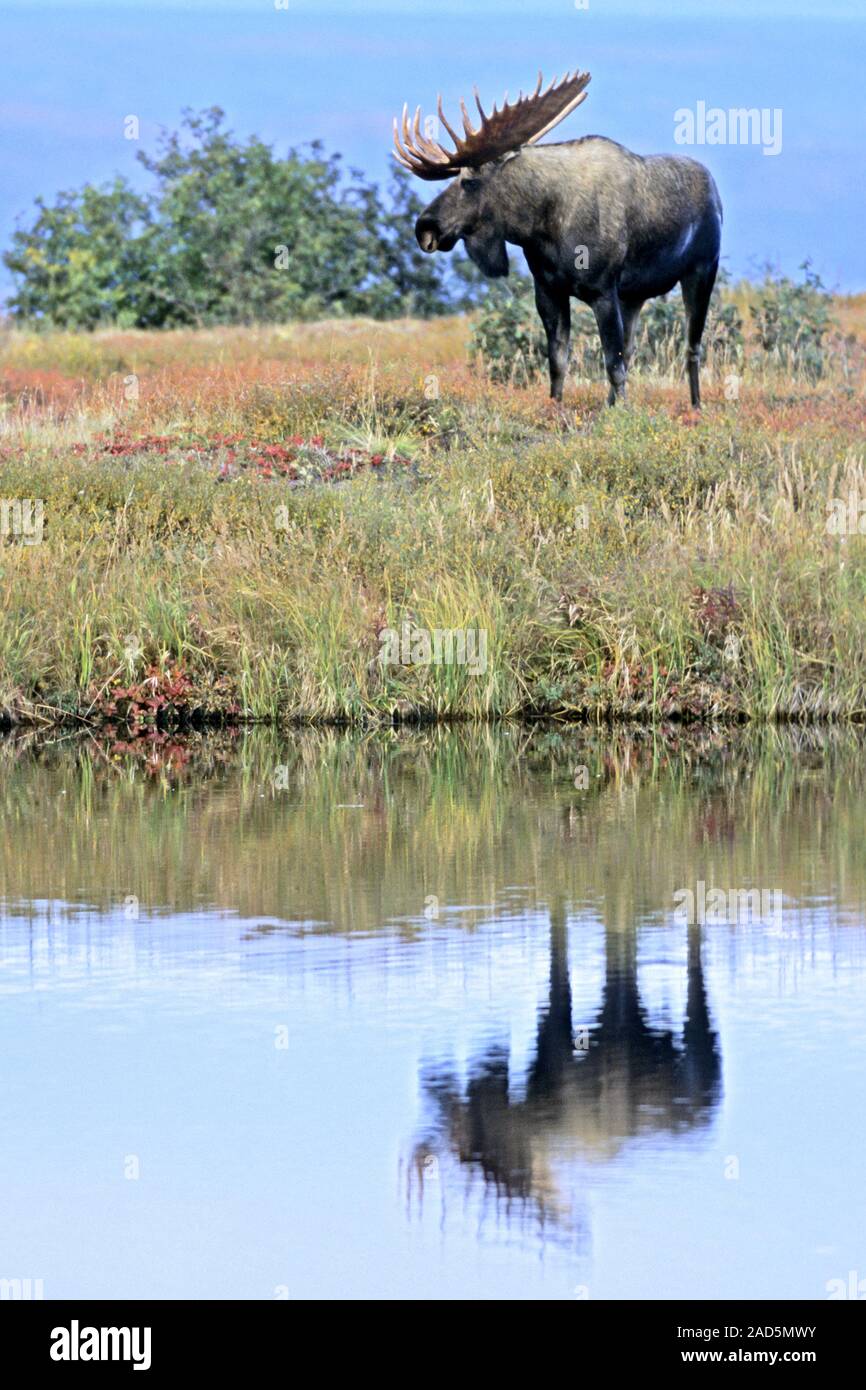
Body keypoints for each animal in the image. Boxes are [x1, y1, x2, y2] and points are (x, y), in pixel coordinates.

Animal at [394, 69, 723, 408]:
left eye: (469, 182)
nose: (425, 227)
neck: (541, 227)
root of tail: (715, 191)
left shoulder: (603, 290)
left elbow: (612, 363)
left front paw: (624, 412)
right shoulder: (549, 290)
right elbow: (558, 362)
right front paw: (558, 407)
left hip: (702, 270)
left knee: (691, 348)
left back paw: (696, 407)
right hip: (635, 295)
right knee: (633, 348)